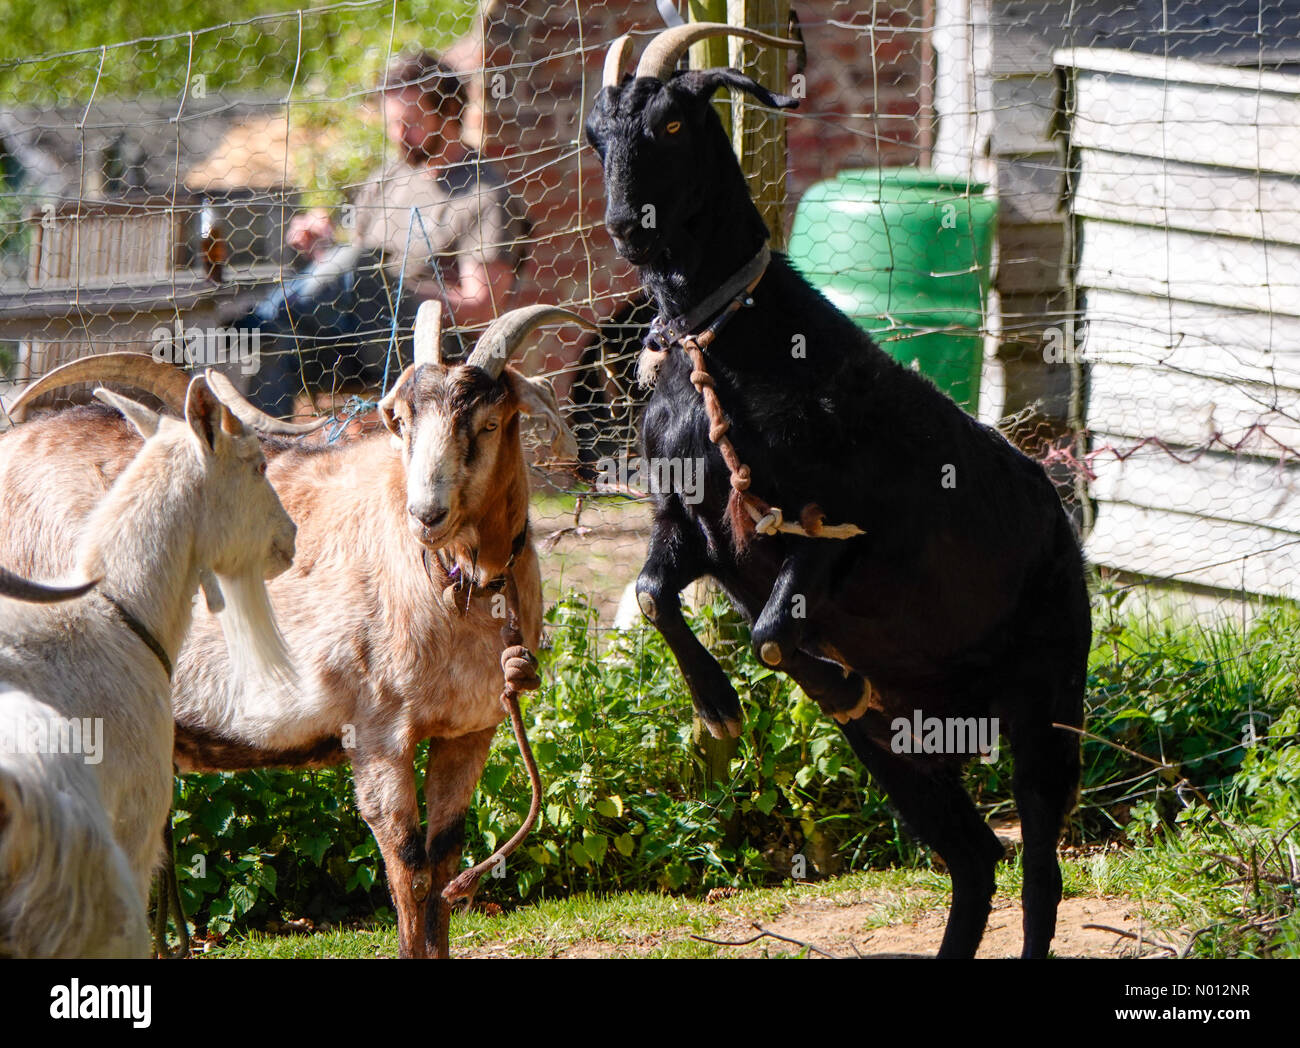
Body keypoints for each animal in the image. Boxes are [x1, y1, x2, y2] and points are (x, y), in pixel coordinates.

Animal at [586, 24, 1092, 959]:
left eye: (672, 124)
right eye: (598, 136)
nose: (626, 228)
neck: (725, 346)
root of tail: (1058, 520)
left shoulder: (829, 533)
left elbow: (771, 633)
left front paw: (824, 678)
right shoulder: (689, 524)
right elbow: (650, 592)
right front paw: (719, 709)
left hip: (1046, 695)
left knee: (1040, 864)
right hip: (896, 749)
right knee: (974, 859)